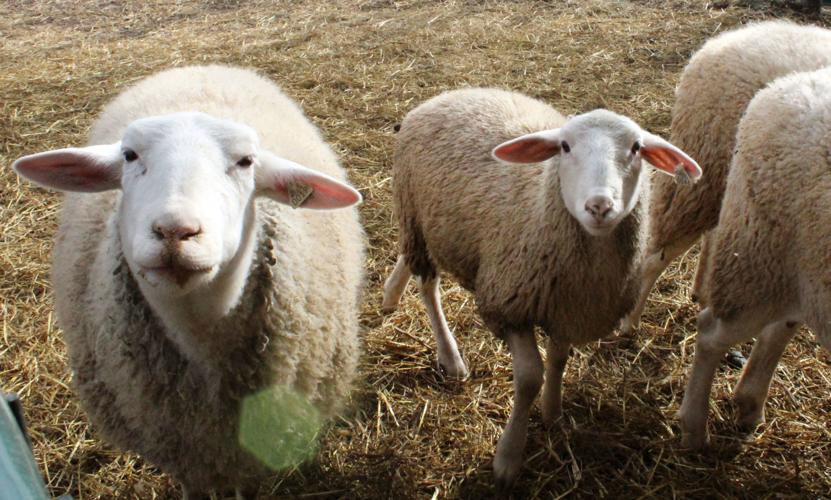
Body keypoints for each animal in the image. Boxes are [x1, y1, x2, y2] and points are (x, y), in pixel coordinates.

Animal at [11, 65, 364, 499]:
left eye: (246, 161)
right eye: (130, 155)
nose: (174, 231)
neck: (200, 332)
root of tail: (201, 68)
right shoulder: (181, 451)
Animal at [381, 88, 701, 487]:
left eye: (637, 147)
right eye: (564, 146)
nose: (599, 206)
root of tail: (451, 94)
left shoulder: (566, 309)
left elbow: (559, 361)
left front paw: (553, 412)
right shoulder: (507, 302)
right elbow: (530, 377)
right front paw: (508, 458)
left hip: (433, 228)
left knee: (407, 259)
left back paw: (390, 294)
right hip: (419, 218)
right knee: (428, 287)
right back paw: (451, 357)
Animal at [678, 66, 831, 450]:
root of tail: (781, 87)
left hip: (795, 273)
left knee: (779, 328)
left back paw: (748, 406)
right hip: (754, 263)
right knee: (710, 332)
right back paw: (695, 428)